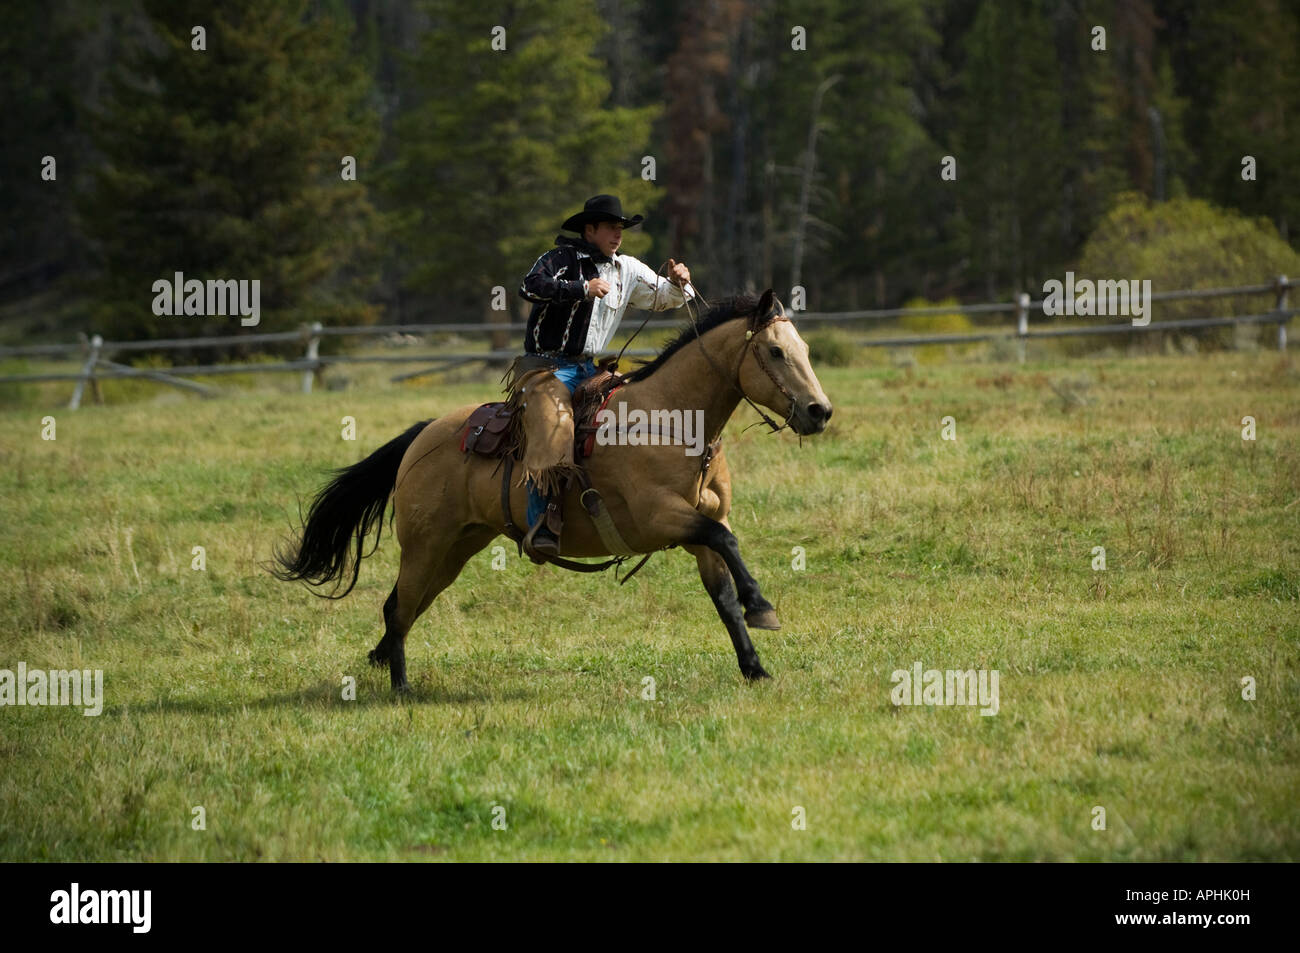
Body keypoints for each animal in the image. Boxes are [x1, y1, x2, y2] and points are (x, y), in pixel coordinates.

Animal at [271, 289, 832, 690]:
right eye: (775, 351)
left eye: (805, 350)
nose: (820, 411)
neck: (669, 421)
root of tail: (426, 432)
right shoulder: (660, 518)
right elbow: (727, 543)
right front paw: (763, 606)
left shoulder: (701, 524)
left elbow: (723, 594)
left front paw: (755, 666)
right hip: (425, 545)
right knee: (399, 607)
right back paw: (401, 687)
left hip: (454, 549)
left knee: (404, 608)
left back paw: (384, 661)